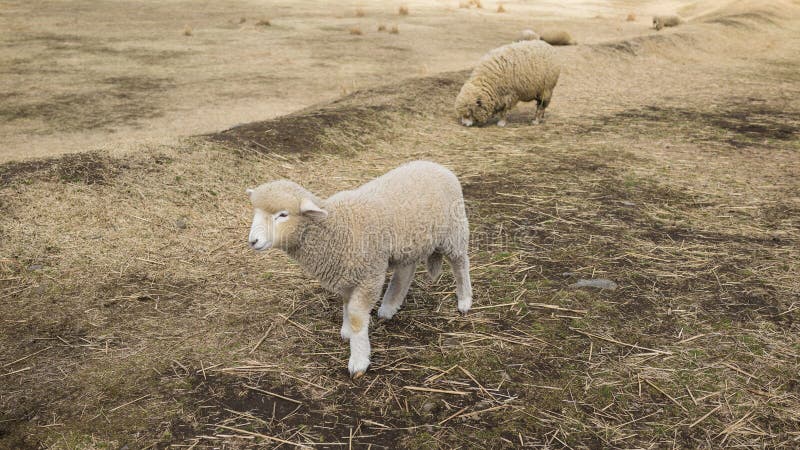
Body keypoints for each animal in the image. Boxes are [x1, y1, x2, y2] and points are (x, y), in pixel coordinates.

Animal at [245, 161, 472, 377]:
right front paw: (346, 330)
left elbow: (356, 316)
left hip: (454, 231)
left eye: (282, 215)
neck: (334, 227)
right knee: (406, 270)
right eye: (256, 212)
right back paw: (389, 306)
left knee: (460, 264)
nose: (253, 241)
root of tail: (435, 165)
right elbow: (346, 304)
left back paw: (464, 300)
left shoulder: (369, 276)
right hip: (410, 242)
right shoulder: (347, 274)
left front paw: (359, 360)